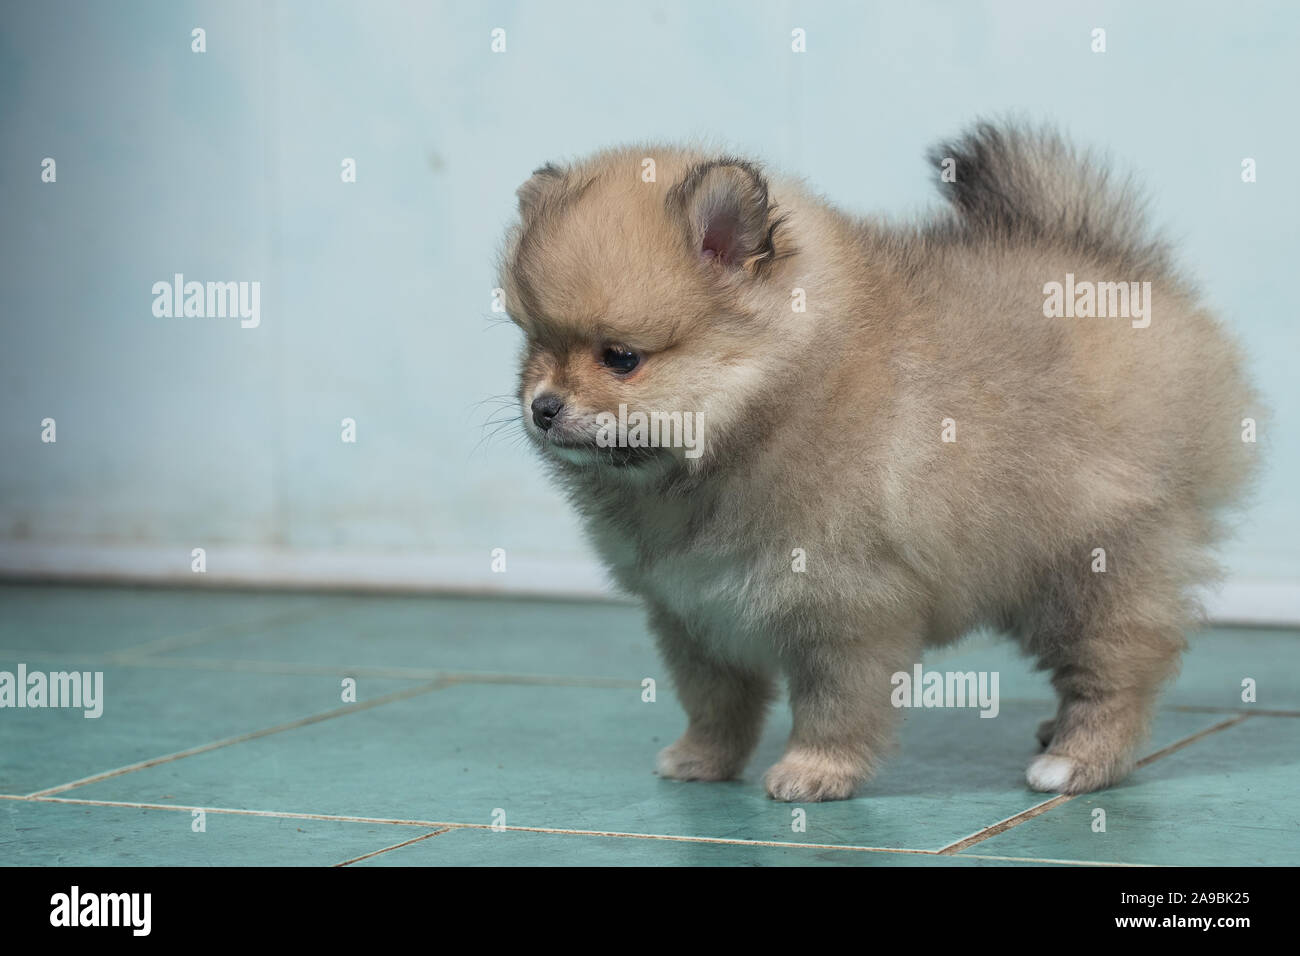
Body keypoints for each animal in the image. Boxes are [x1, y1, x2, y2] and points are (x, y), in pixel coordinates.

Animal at [493, 123, 1258, 806]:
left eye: (620, 358)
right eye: (533, 344)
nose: (543, 406)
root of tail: (1125, 274)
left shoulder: (847, 605)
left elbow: (834, 703)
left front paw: (816, 771)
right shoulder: (693, 613)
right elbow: (716, 701)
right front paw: (703, 759)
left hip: (1092, 564)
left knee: (1117, 671)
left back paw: (1077, 759)